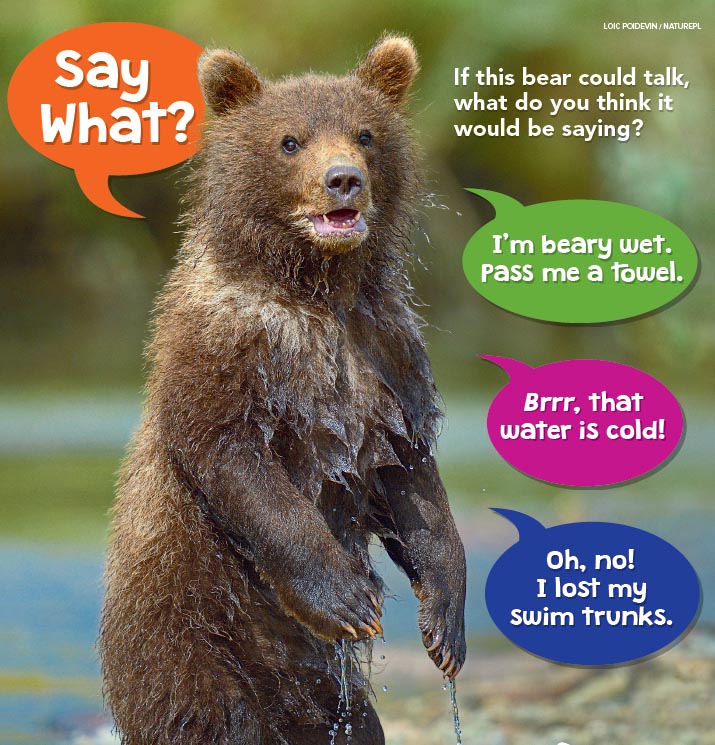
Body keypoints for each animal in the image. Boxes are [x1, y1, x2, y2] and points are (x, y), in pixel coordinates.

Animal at [100, 35, 466, 745]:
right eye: (290, 141)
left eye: (365, 133)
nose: (343, 178)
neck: (312, 289)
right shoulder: (226, 346)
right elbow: (232, 457)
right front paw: (348, 597)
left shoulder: (386, 353)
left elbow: (411, 477)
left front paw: (445, 622)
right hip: (191, 635)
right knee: (205, 713)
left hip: (324, 692)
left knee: (355, 725)